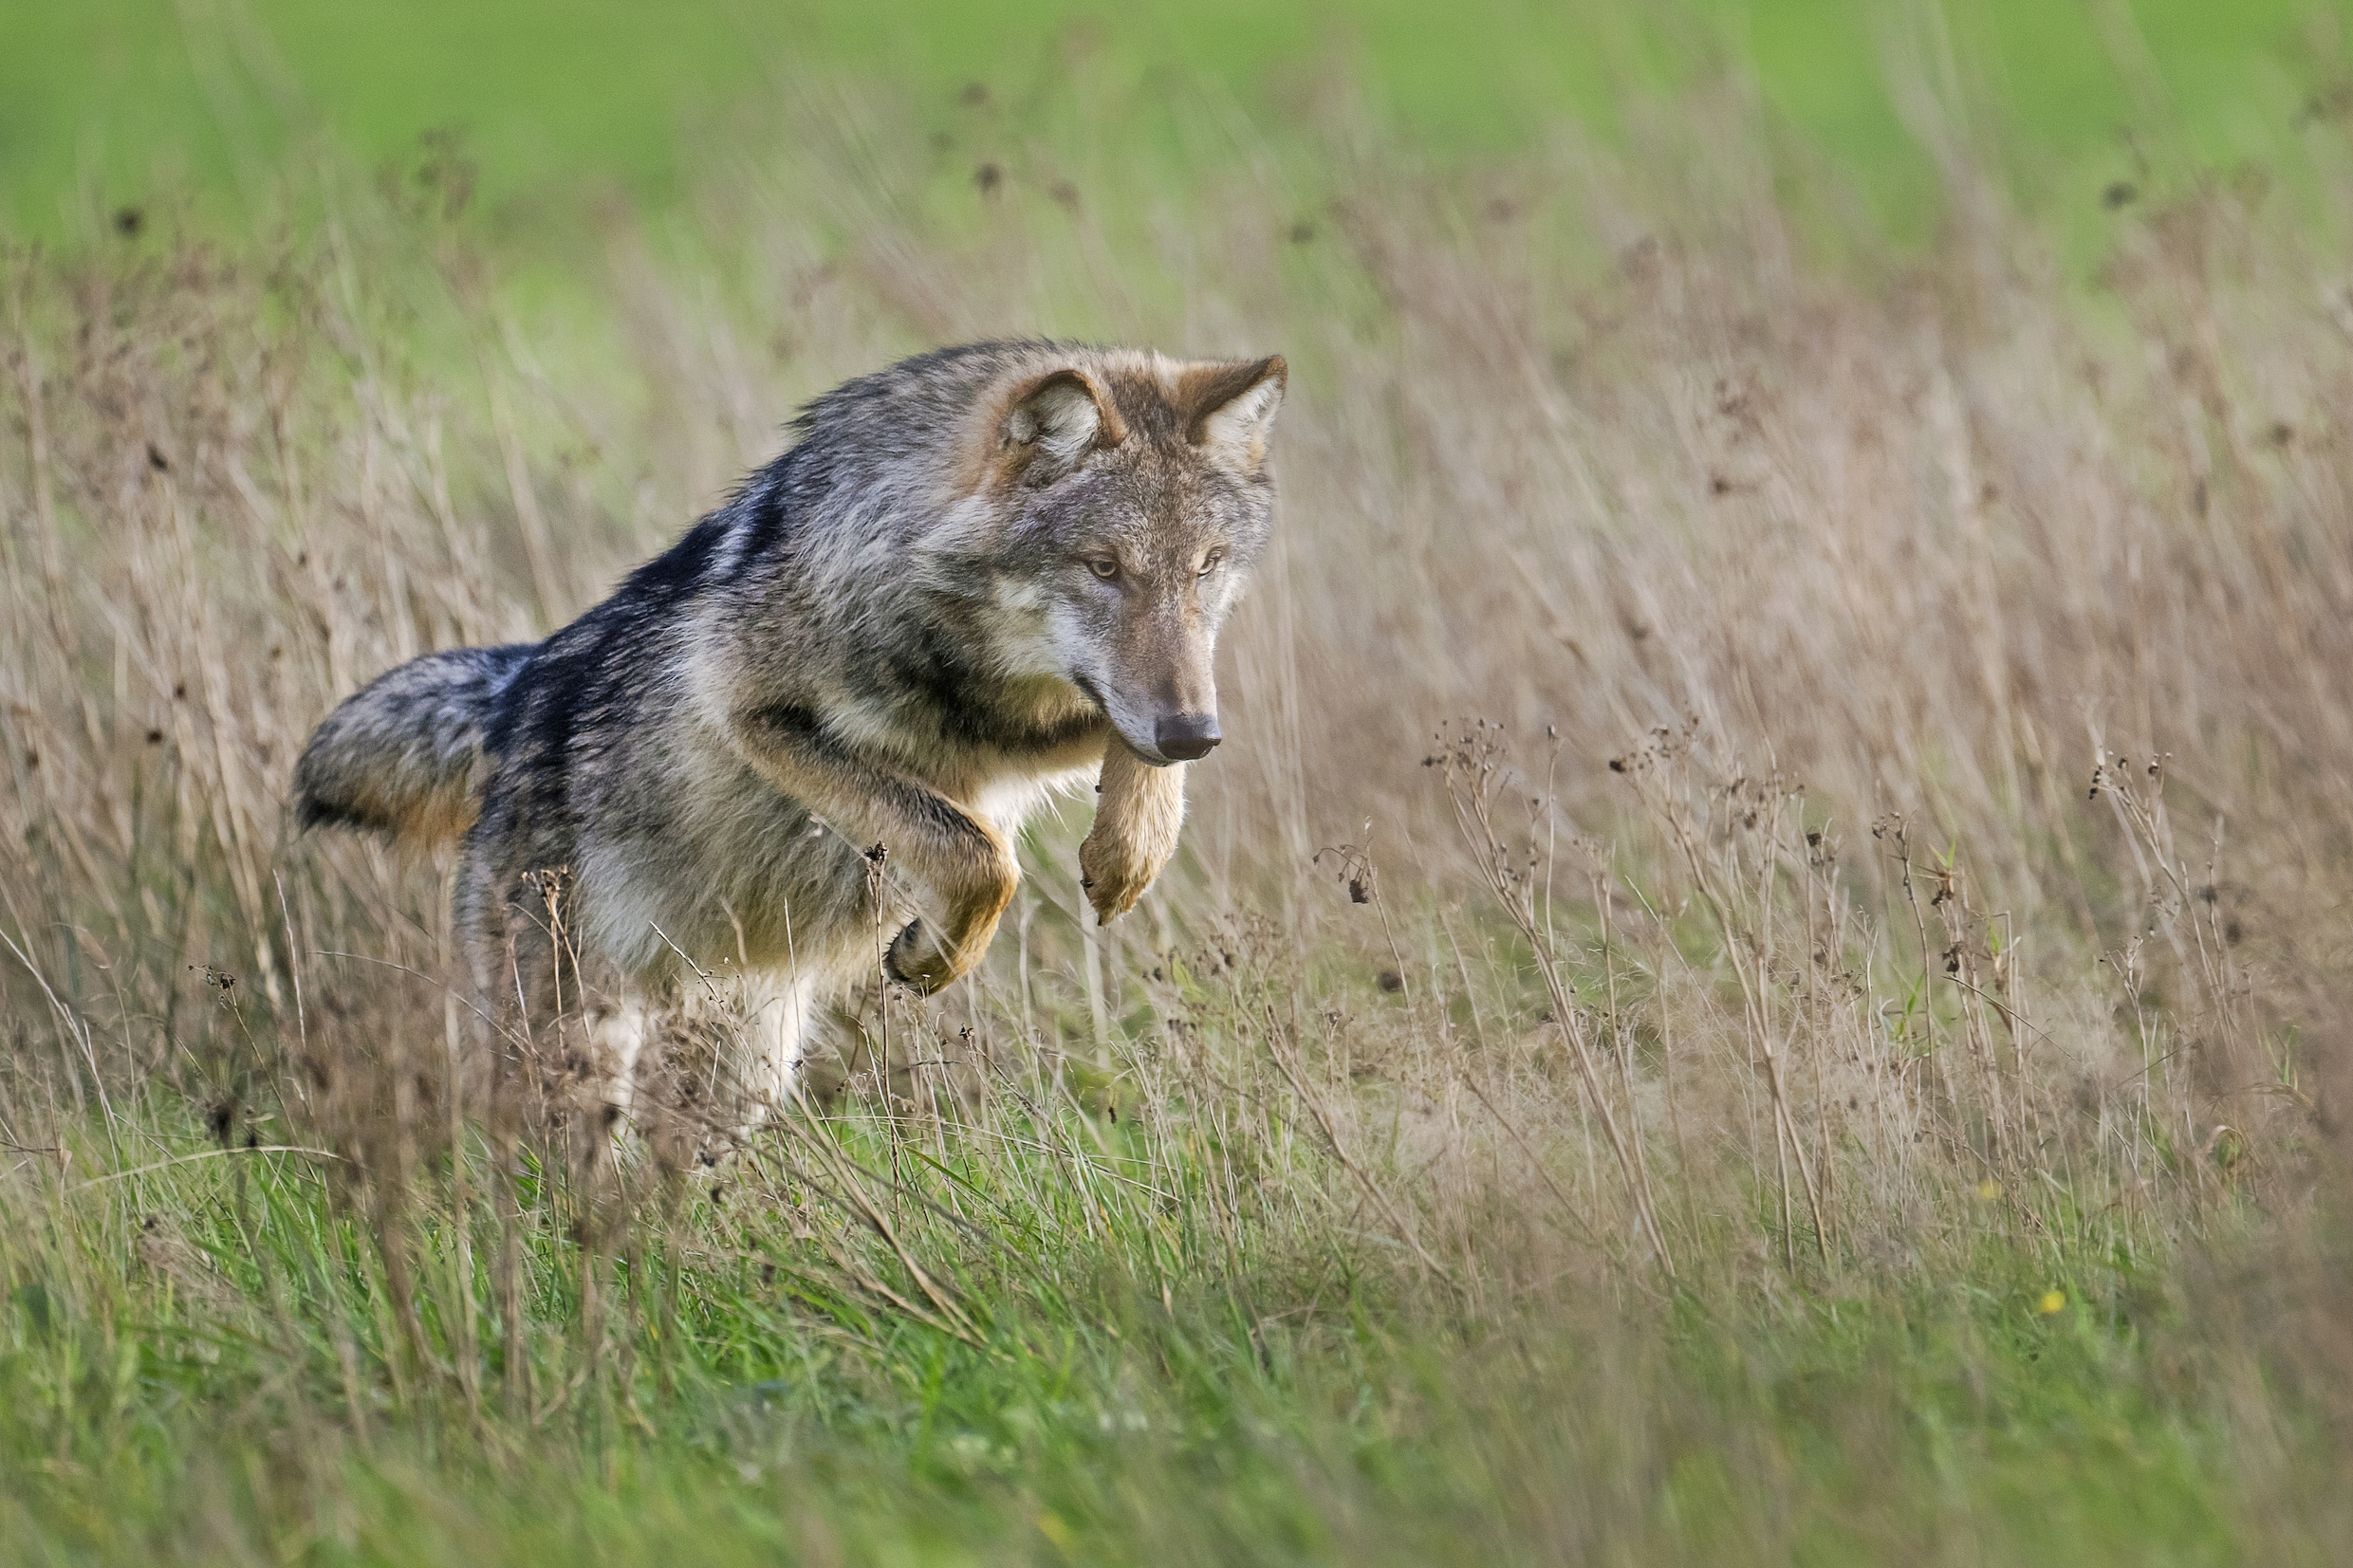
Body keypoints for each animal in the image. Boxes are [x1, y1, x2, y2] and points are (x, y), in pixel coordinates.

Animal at [293, 340, 1285, 1120]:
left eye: (1206, 567)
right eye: (1103, 566)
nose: (1192, 733)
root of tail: (518, 688)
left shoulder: (1076, 724)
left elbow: (1121, 762)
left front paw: (1127, 854)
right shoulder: (752, 709)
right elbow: (981, 858)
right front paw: (936, 954)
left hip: (752, 1065)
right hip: (572, 1045)